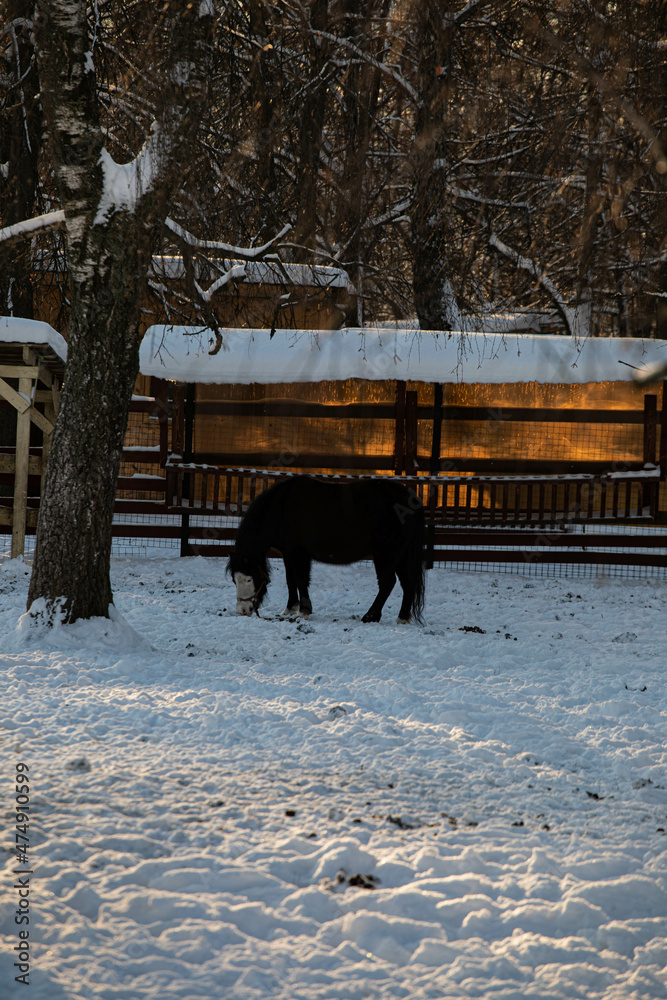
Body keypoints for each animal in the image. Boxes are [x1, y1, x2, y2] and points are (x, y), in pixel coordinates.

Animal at [227, 476, 425, 623]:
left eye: (249, 578)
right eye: (234, 580)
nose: (243, 610)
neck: (280, 508)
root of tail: (412, 499)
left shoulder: (299, 554)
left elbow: (301, 580)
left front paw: (304, 612)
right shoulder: (288, 554)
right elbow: (291, 580)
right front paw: (290, 608)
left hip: (385, 555)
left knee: (387, 583)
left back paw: (370, 616)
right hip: (400, 556)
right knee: (407, 584)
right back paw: (402, 618)